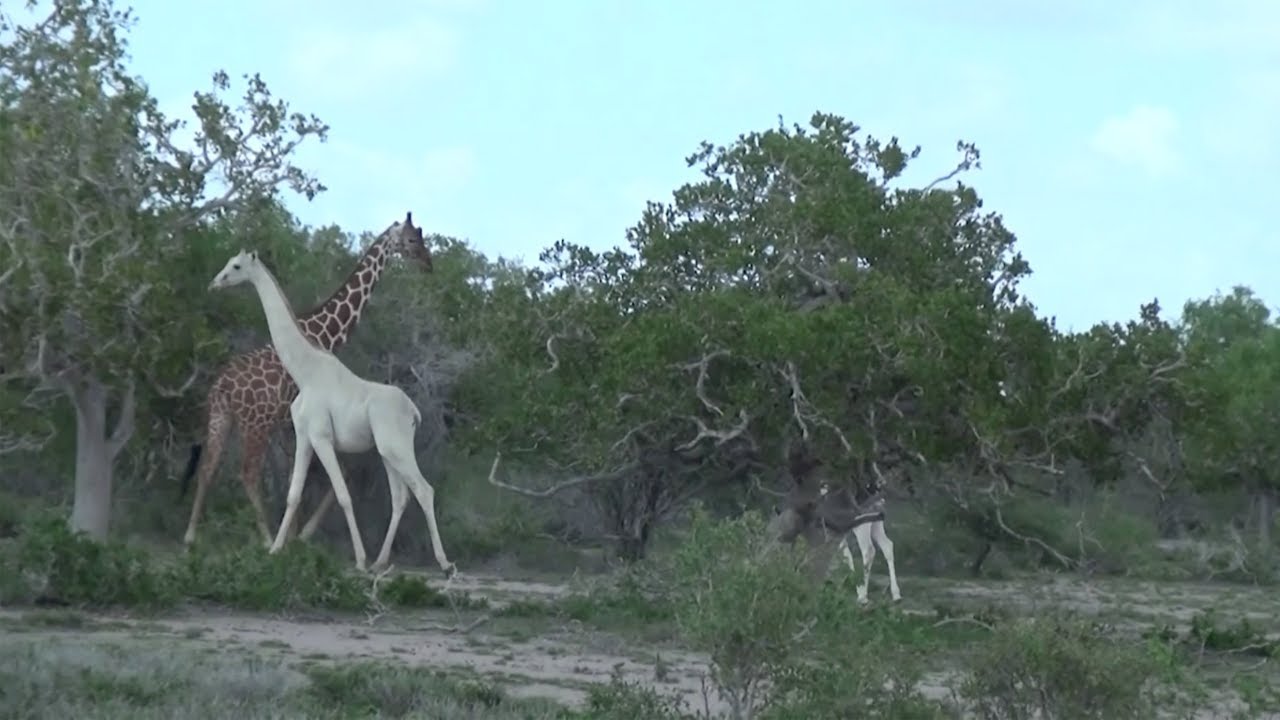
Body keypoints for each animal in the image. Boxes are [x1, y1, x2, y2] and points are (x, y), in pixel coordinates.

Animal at [181, 213, 432, 549]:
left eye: (420, 237)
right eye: (411, 239)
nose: (428, 263)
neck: (321, 334)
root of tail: (222, 384)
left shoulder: (297, 424)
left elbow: (304, 479)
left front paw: (295, 534)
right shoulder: (293, 422)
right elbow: (315, 477)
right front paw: (297, 535)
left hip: (222, 417)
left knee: (209, 467)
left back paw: (191, 535)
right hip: (254, 423)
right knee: (247, 473)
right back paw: (263, 537)